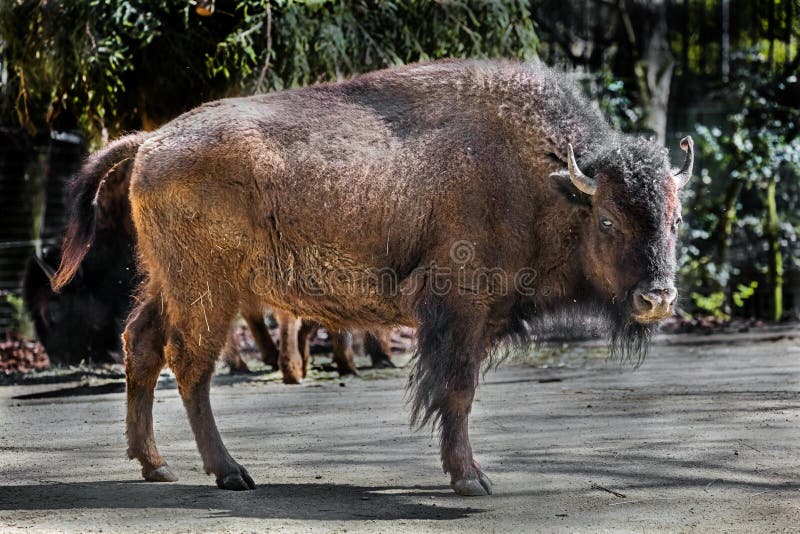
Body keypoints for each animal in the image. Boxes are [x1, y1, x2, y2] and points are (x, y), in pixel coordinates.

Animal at [53, 59, 693, 496]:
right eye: (608, 220)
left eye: (675, 218)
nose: (657, 298)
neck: (547, 179)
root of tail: (151, 141)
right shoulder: (460, 312)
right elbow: (456, 392)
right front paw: (471, 479)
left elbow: (454, 392)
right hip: (208, 292)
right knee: (189, 365)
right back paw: (230, 472)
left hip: (168, 284)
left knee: (141, 344)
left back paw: (156, 465)